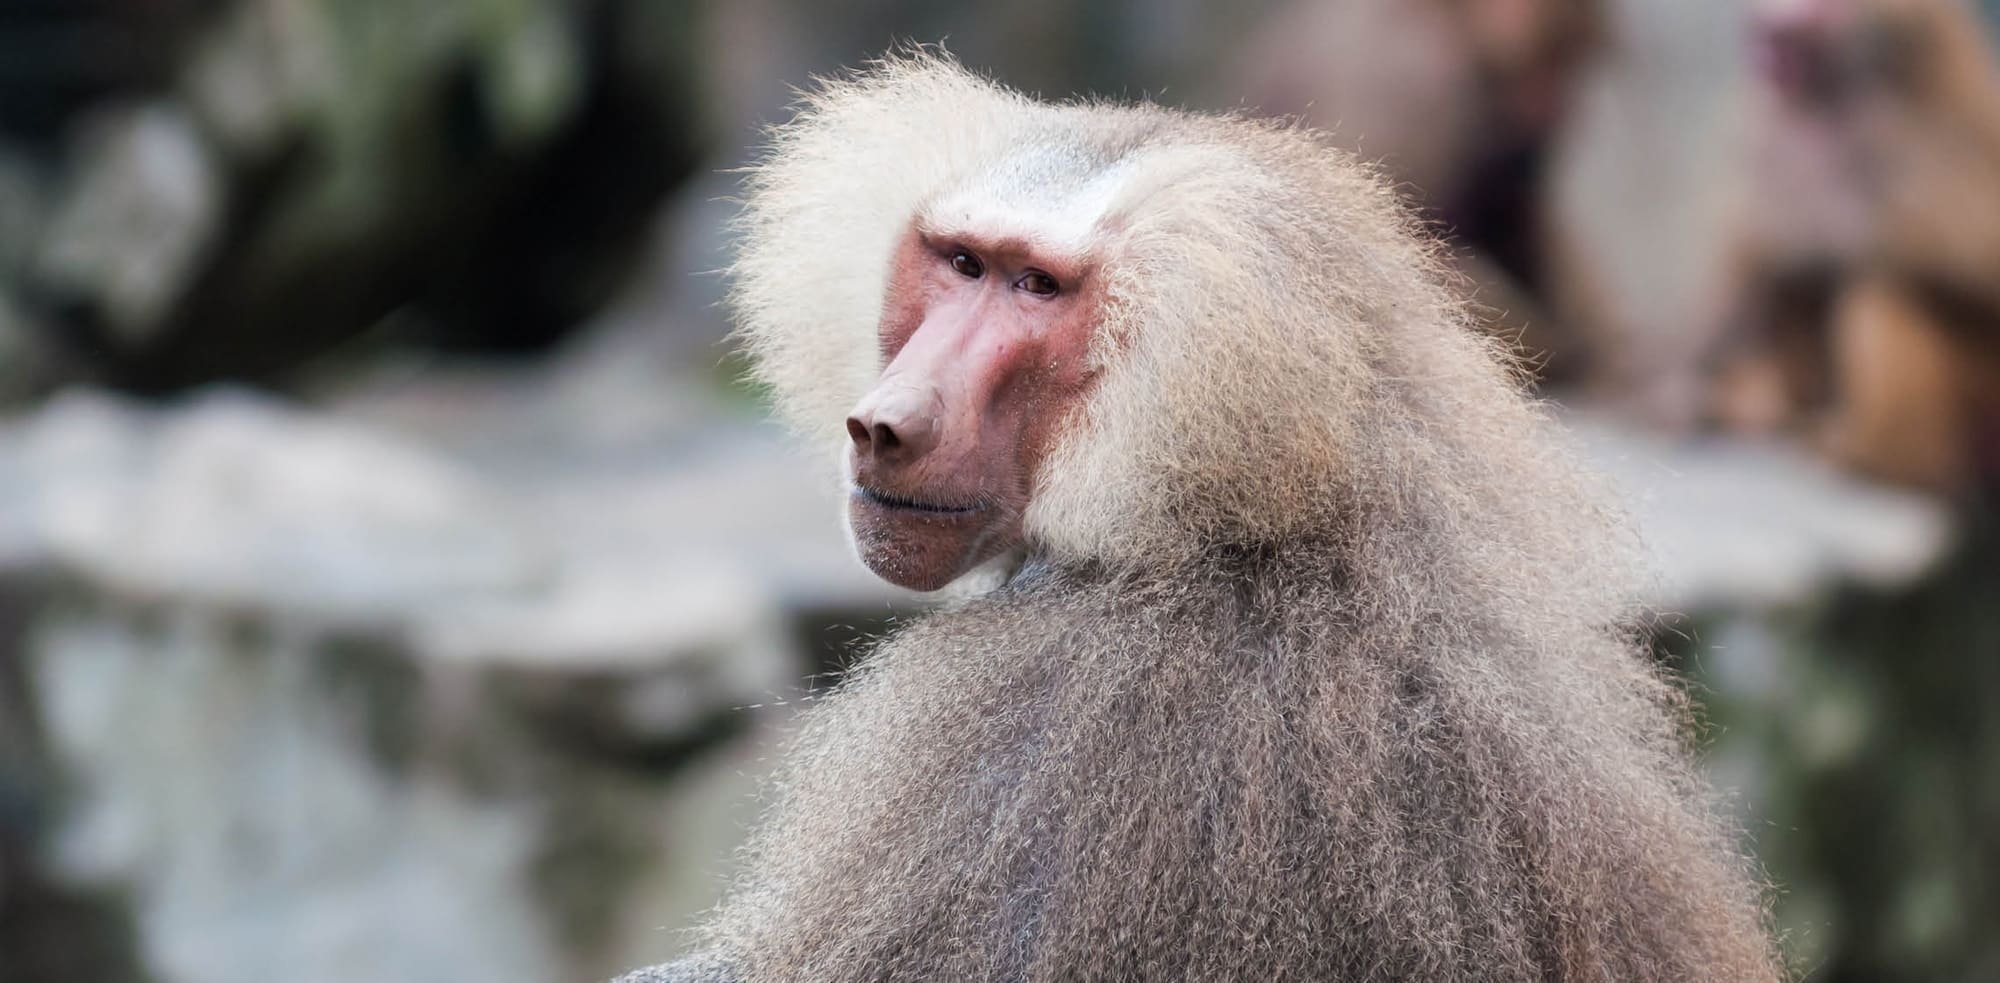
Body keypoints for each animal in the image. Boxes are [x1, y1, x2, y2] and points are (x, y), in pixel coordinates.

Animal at [1705, 0, 2000, 494]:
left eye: (1786, 37)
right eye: (1767, 36)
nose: (1763, 53)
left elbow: (1974, 249)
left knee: (1879, 287)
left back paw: (1876, 458)